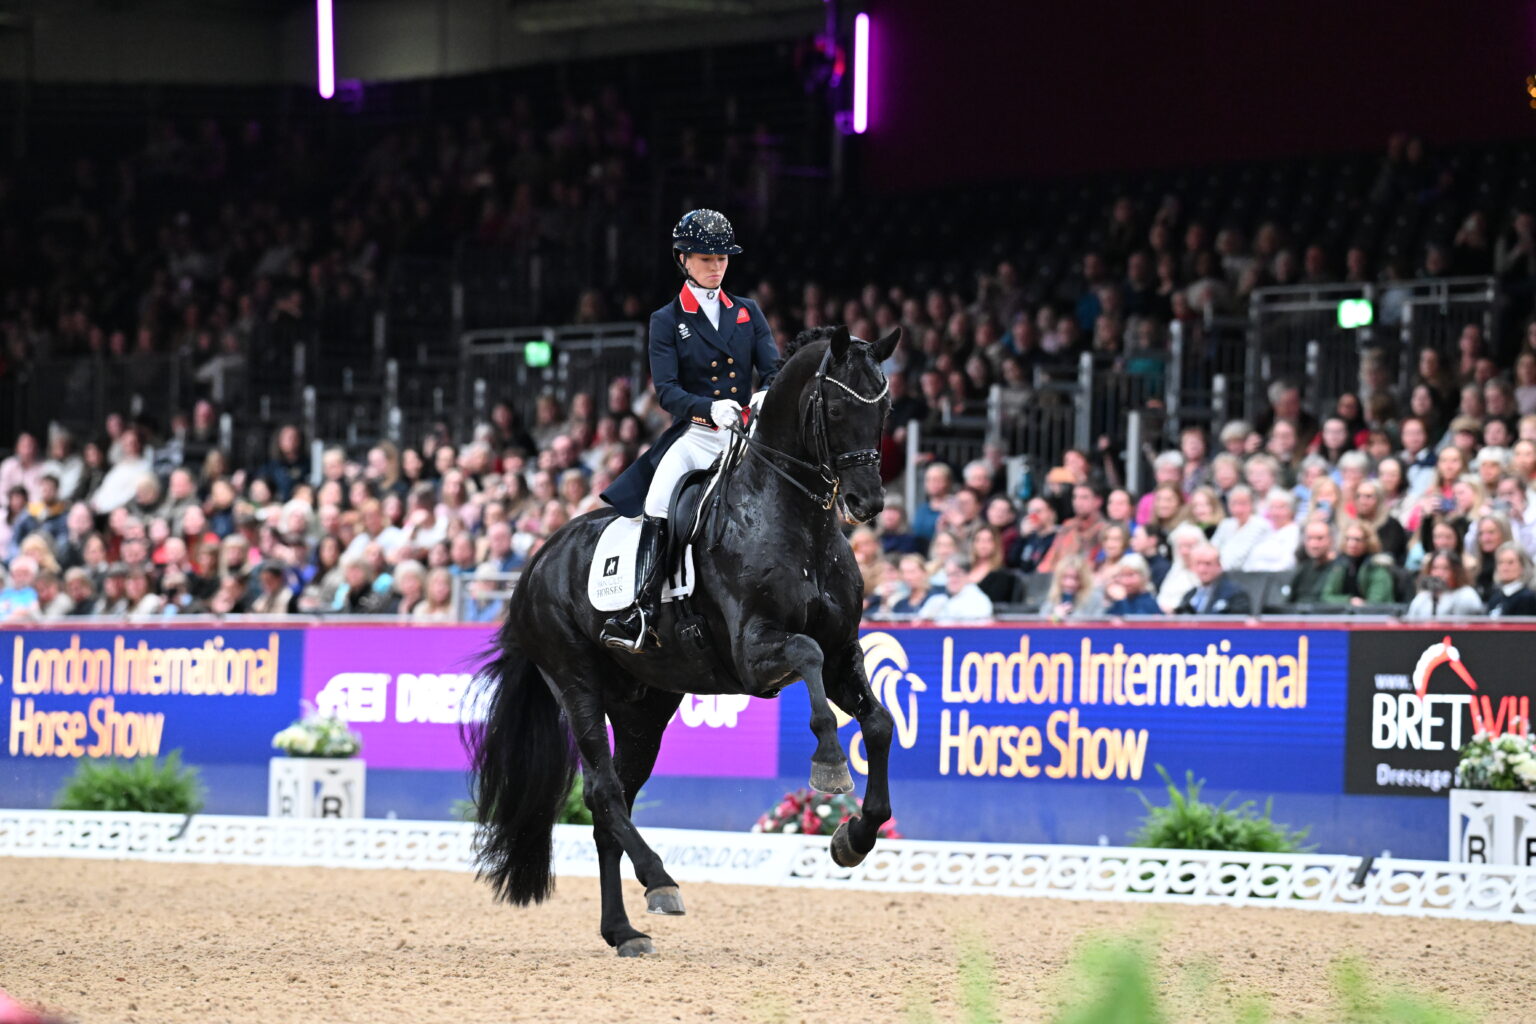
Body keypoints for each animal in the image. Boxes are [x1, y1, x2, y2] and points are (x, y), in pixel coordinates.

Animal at [467, 324, 902, 956]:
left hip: (643, 711)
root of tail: (538, 561)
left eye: (886, 410)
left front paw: (854, 837)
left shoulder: (845, 654)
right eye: (840, 408)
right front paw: (828, 766)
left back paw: (625, 931)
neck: (796, 520)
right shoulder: (754, 652)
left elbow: (879, 722)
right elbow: (808, 656)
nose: (867, 503)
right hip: (576, 684)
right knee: (602, 793)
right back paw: (660, 880)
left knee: (611, 806)